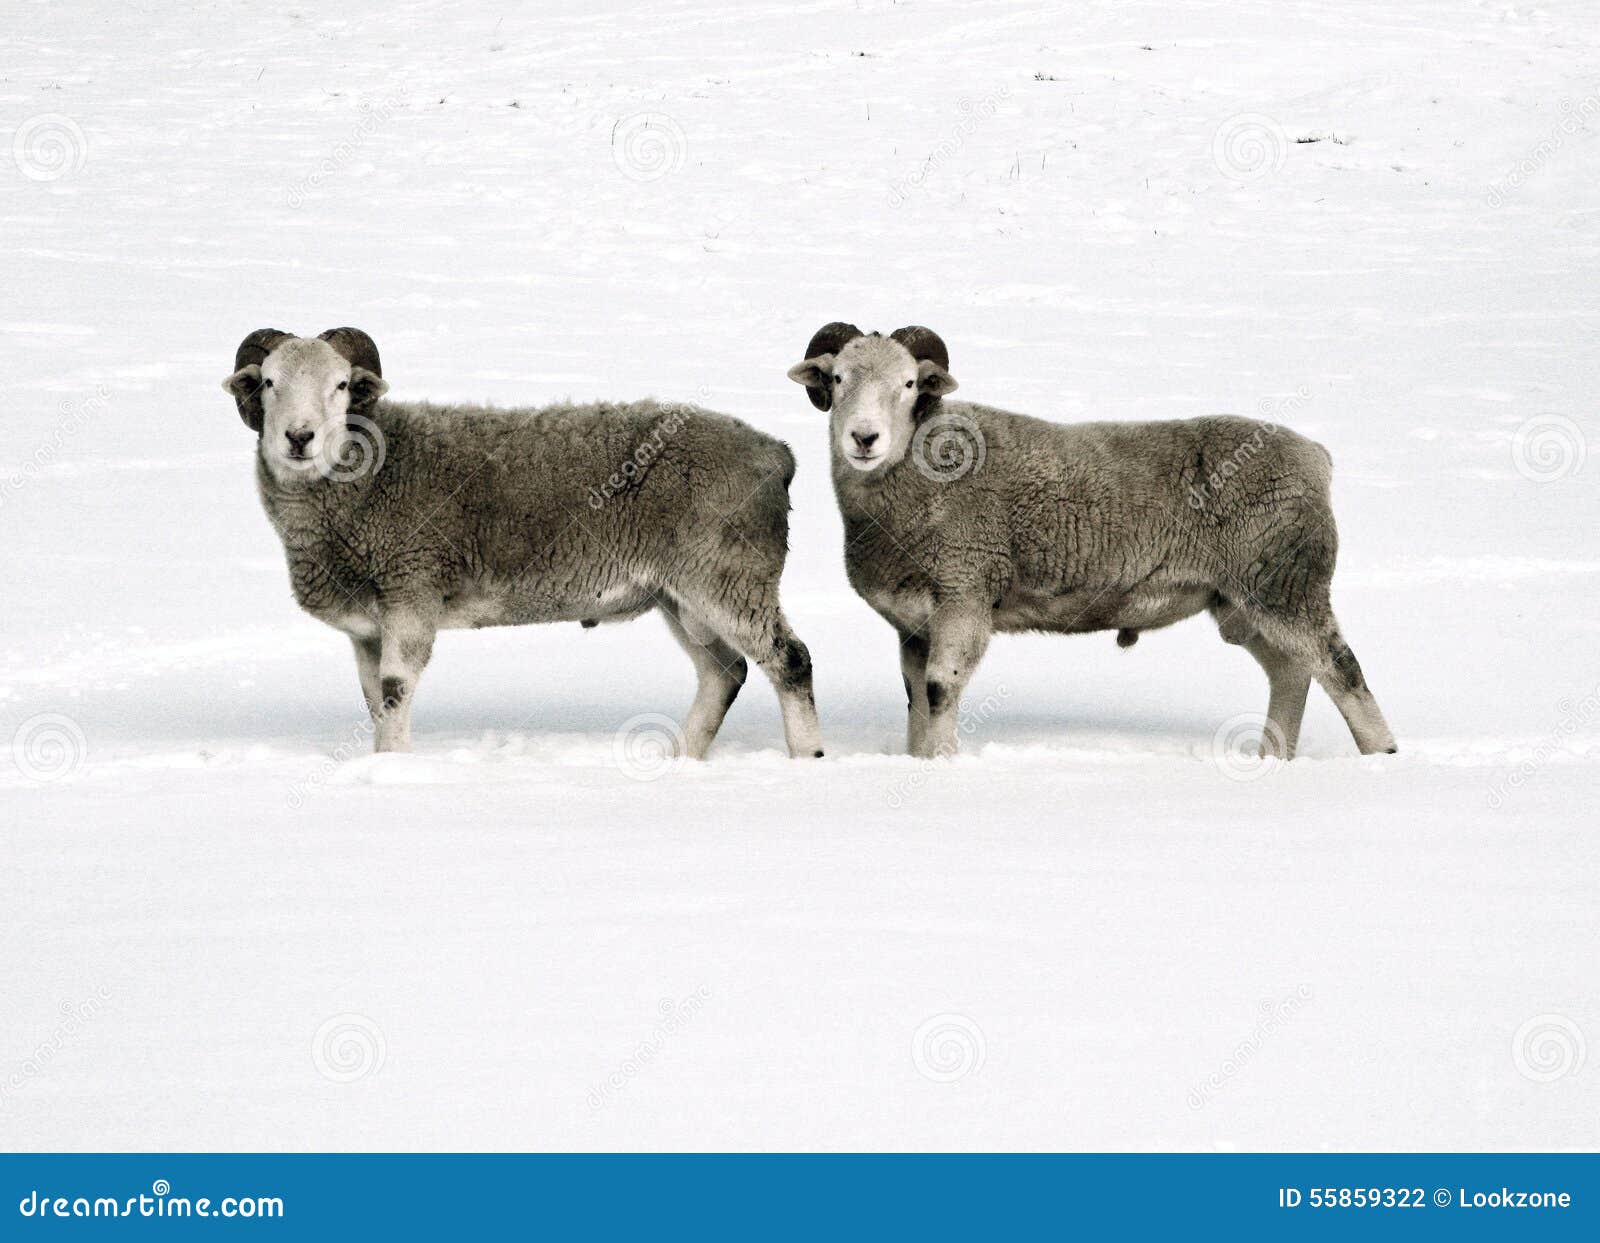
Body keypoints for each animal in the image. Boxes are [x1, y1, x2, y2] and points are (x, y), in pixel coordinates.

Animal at [222, 327, 822, 759]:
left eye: (342, 385)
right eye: (269, 382)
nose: (299, 437)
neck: (369, 482)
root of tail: (776, 453)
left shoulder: (412, 590)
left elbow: (395, 692)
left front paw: (392, 768)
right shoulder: (368, 627)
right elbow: (375, 701)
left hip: (729, 574)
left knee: (790, 660)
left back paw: (806, 759)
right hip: (681, 593)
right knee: (725, 672)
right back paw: (684, 759)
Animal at [786, 323, 1396, 761]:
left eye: (909, 384)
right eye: (837, 379)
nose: (864, 438)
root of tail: (1315, 455)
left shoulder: (965, 596)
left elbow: (940, 692)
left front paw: (939, 767)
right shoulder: (914, 624)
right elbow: (916, 699)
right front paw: (917, 760)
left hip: (1286, 581)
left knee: (1341, 669)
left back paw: (1381, 757)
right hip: (1243, 601)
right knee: (1292, 671)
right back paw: (1274, 759)